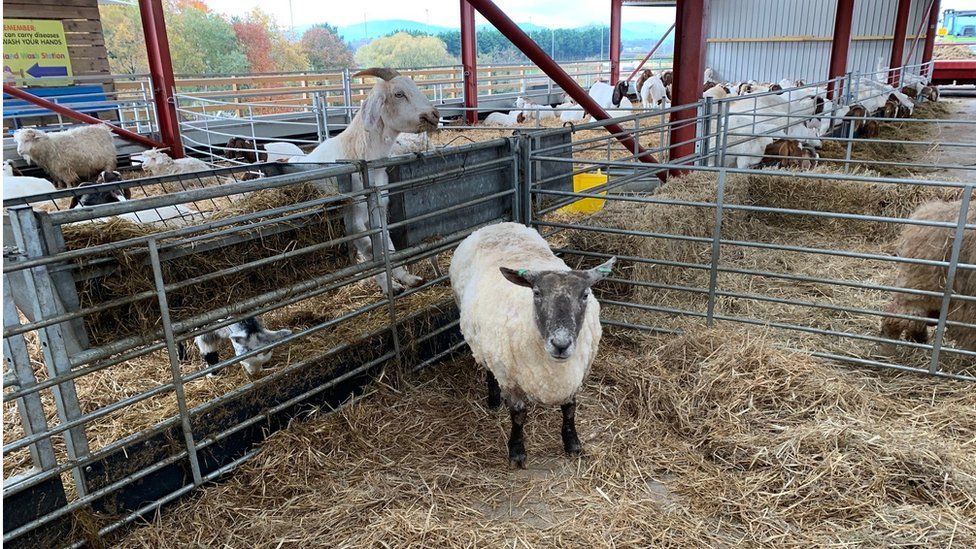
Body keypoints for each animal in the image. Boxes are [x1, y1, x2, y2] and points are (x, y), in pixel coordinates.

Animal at [297, 68, 440, 294]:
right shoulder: (353, 220)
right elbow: (371, 251)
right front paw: (391, 287)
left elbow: (387, 244)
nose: (434, 114)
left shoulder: (379, 210)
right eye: (399, 94)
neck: (358, 152)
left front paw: (407, 278)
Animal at [449, 222, 615, 468]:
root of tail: (496, 225)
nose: (561, 344)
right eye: (536, 293)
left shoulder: (577, 374)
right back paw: (493, 400)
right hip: (487, 345)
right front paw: (517, 452)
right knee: (488, 368)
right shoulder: (510, 378)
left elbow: (570, 409)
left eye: (585, 294)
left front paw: (572, 443)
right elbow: (518, 415)